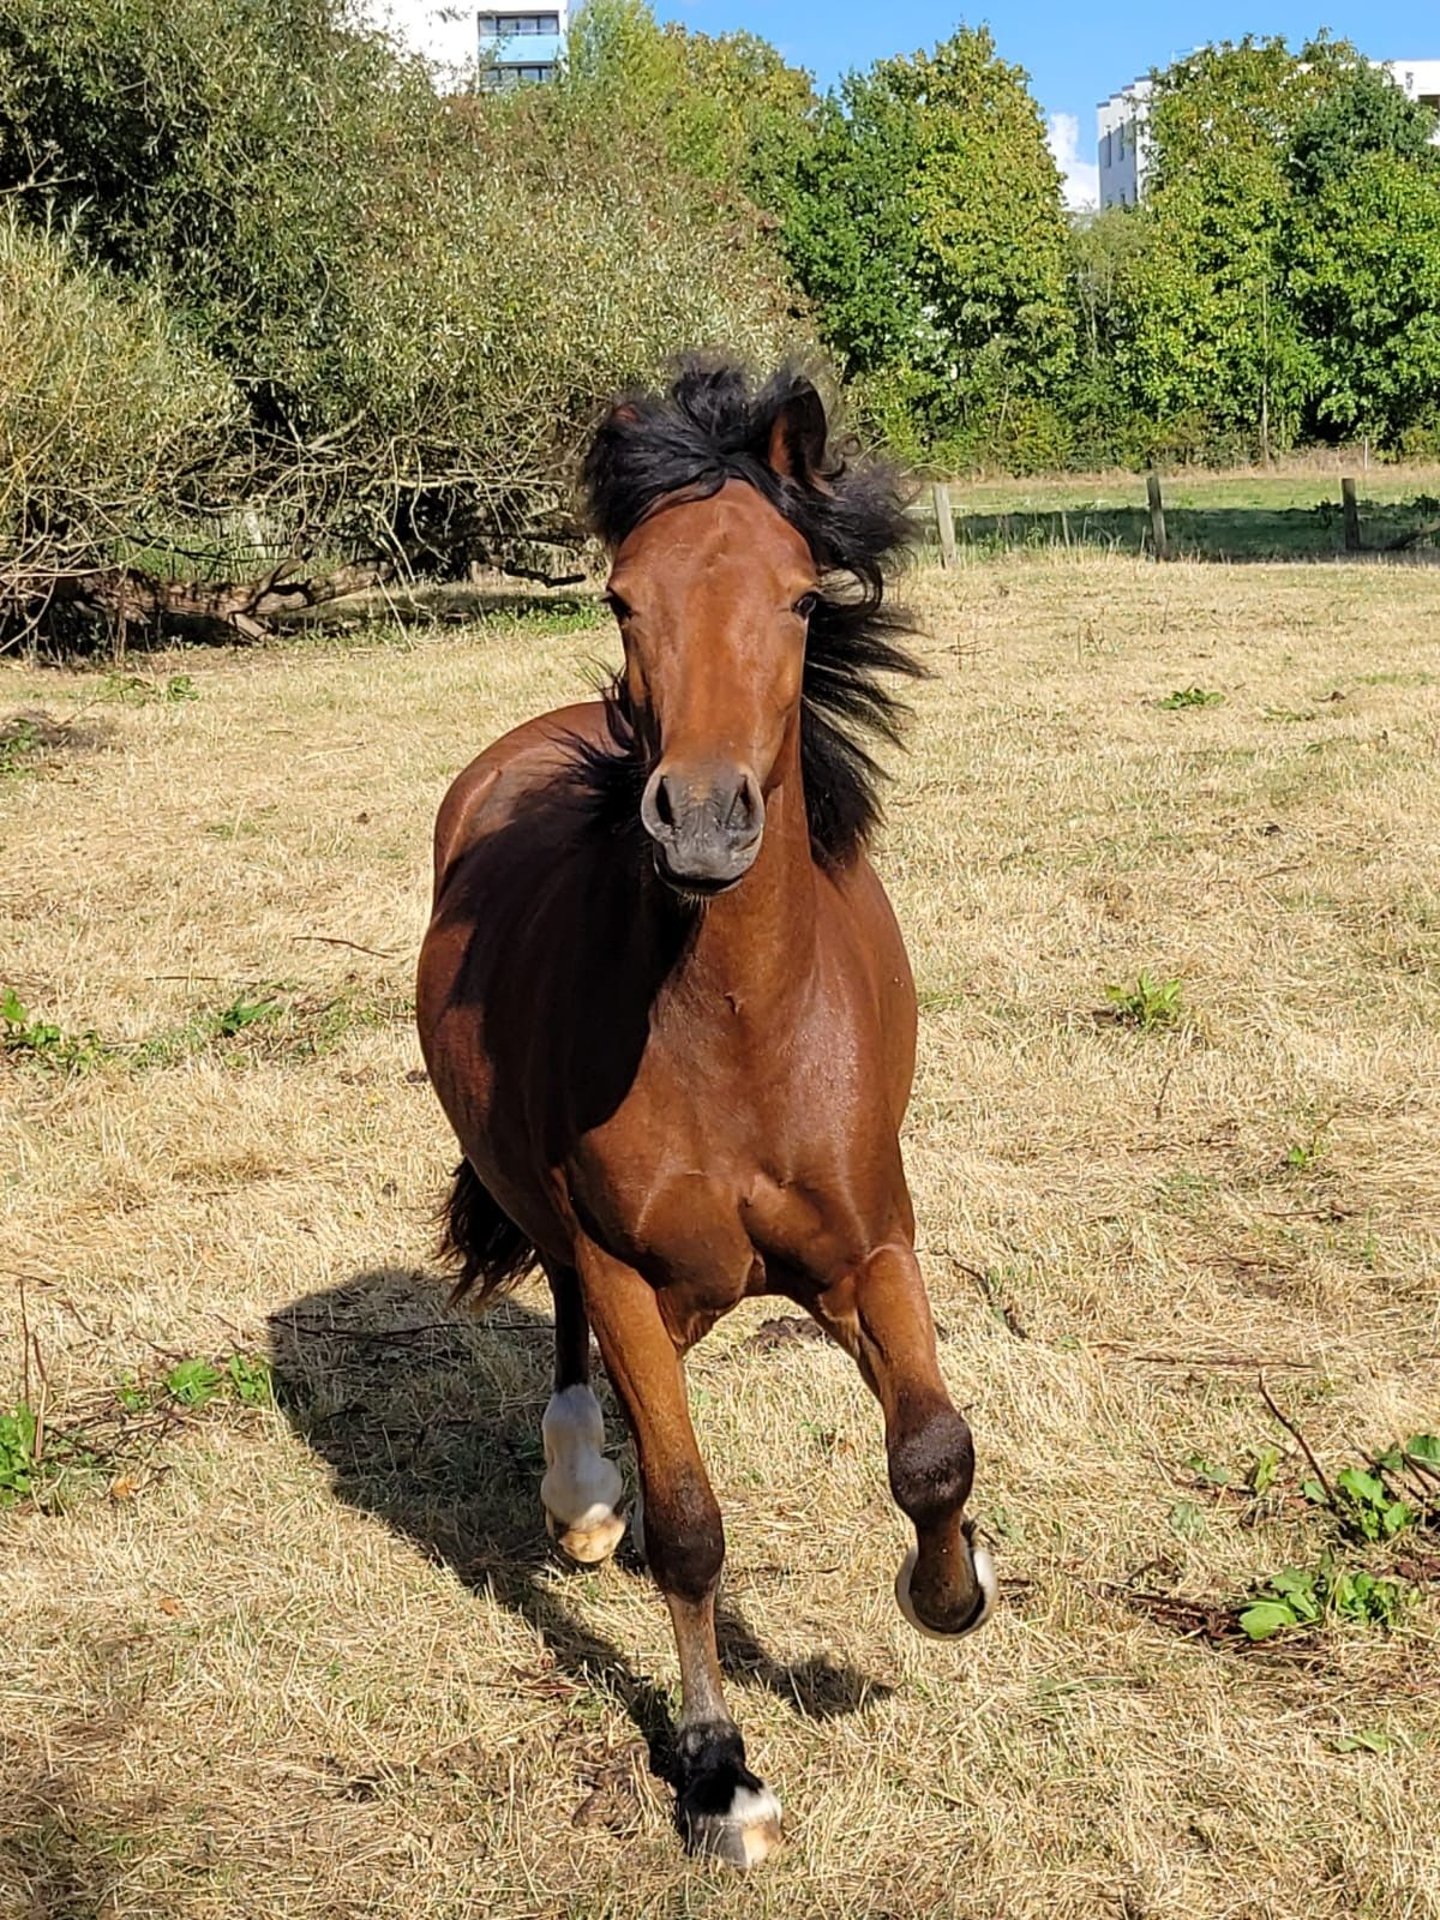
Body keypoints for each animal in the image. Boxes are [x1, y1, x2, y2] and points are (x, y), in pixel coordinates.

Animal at [415, 361, 995, 1868]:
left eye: (798, 598)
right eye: (625, 597)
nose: (703, 823)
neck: (733, 1026)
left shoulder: (871, 1245)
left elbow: (931, 1449)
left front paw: (950, 1588)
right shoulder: (625, 1262)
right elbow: (687, 1524)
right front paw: (719, 1774)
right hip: (565, 1222)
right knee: (580, 1331)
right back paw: (580, 1492)